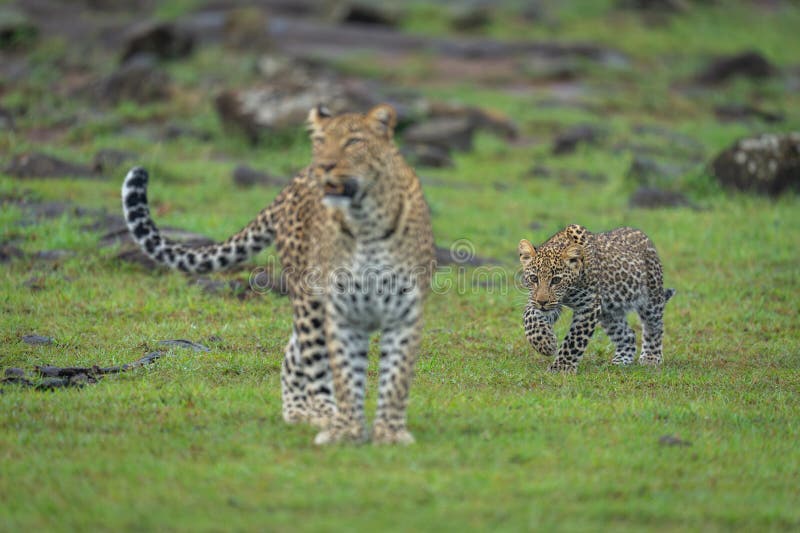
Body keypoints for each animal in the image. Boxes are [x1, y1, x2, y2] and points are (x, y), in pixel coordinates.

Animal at [121, 104, 435, 445]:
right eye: (320, 140)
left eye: (354, 142)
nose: (324, 166)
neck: (365, 222)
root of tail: (293, 182)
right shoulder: (341, 314)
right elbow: (342, 372)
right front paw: (345, 429)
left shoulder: (404, 314)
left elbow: (396, 376)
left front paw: (389, 433)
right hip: (311, 298)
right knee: (307, 353)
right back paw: (311, 413)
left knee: (294, 351)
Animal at [518, 224, 675, 372]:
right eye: (534, 278)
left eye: (556, 280)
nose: (542, 302)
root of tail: (641, 234)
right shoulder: (546, 302)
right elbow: (530, 316)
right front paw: (546, 344)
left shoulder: (588, 305)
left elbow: (574, 339)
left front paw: (561, 367)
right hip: (609, 313)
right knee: (628, 334)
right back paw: (621, 359)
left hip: (651, 298)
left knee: (654, 327)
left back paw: (650, 357)